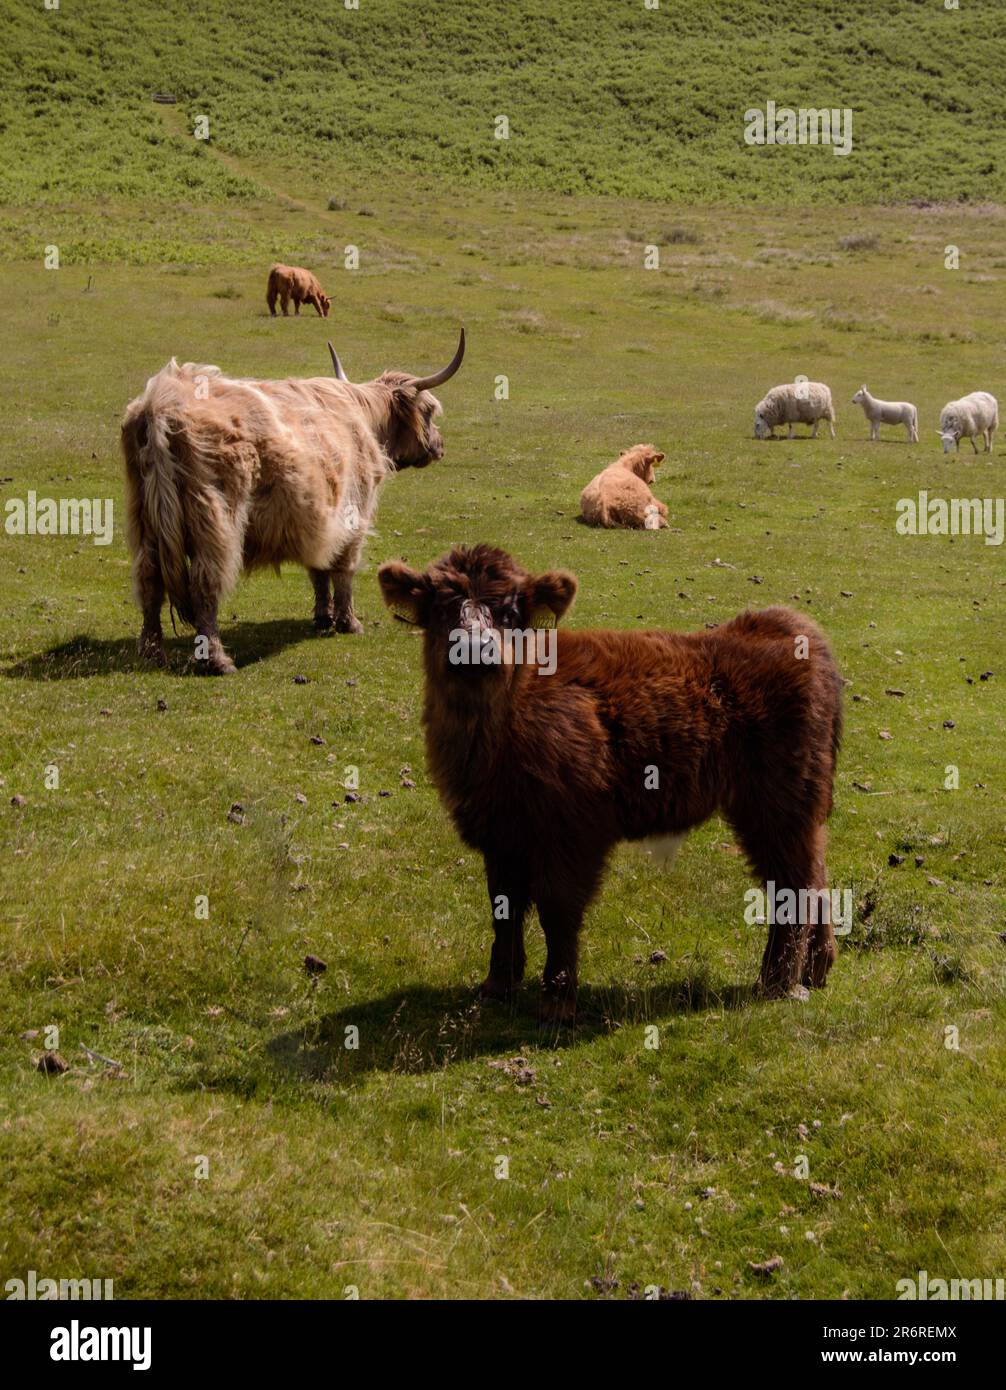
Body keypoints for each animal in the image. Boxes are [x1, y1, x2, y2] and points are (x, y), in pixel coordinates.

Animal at [121, 331, 465, 674]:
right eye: (429, 411)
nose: (440, 446)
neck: (366, 421)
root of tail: (161, 404)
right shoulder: (355, 514)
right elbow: (344, 568)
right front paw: (349, 622)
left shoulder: (321, 519)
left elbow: (319, 568)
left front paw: (323, 616)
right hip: (216, 522)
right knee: (205, 585)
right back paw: (217, 660)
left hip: (144, 518)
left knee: (149, 578)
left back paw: (152, 651)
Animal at [378, 543, 843, 1022]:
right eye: (440, 608)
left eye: (509, 611)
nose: (474, 648)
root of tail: (788, 626)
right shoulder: (500, 833)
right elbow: (503, 907)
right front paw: (498, 984)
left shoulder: (572, 833)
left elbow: (557, 911)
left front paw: (557, 1001)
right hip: (796, 807)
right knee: (817, 873)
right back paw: (816, 969)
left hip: (780, 802)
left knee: (792, 883)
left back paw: (775, 982)